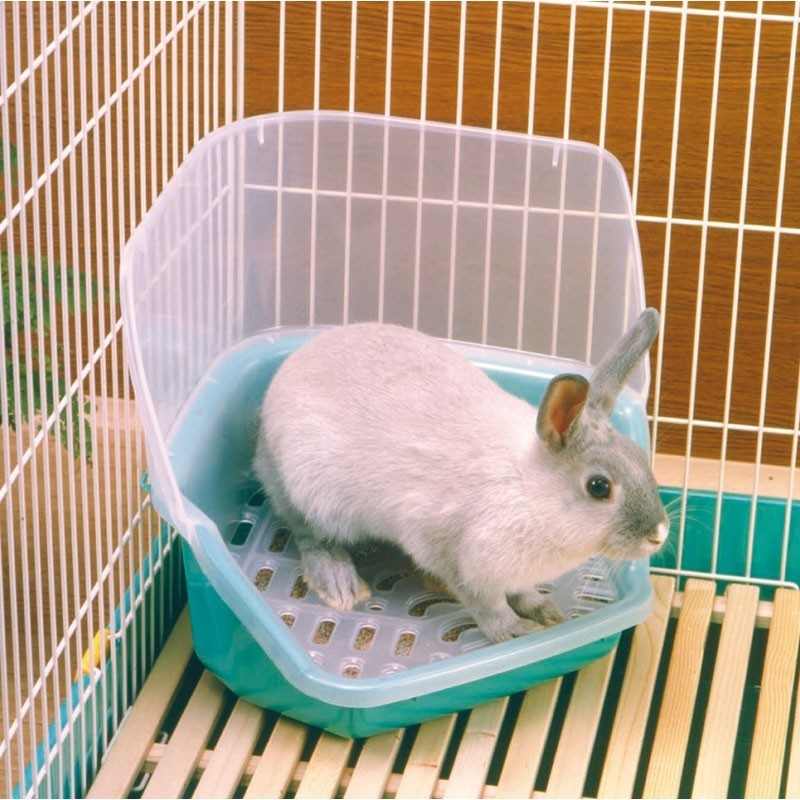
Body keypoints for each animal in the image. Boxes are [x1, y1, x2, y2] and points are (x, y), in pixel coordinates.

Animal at [253, 308, 669, 643]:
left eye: (640, 458)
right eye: (599, 487)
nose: (658, 533)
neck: (531, 493)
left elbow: (522, 593)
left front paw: (545, 611)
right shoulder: (453, 556)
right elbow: (486, 604)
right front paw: (515, 630)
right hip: (312, 495)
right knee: (310, 536)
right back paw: (340, 585)